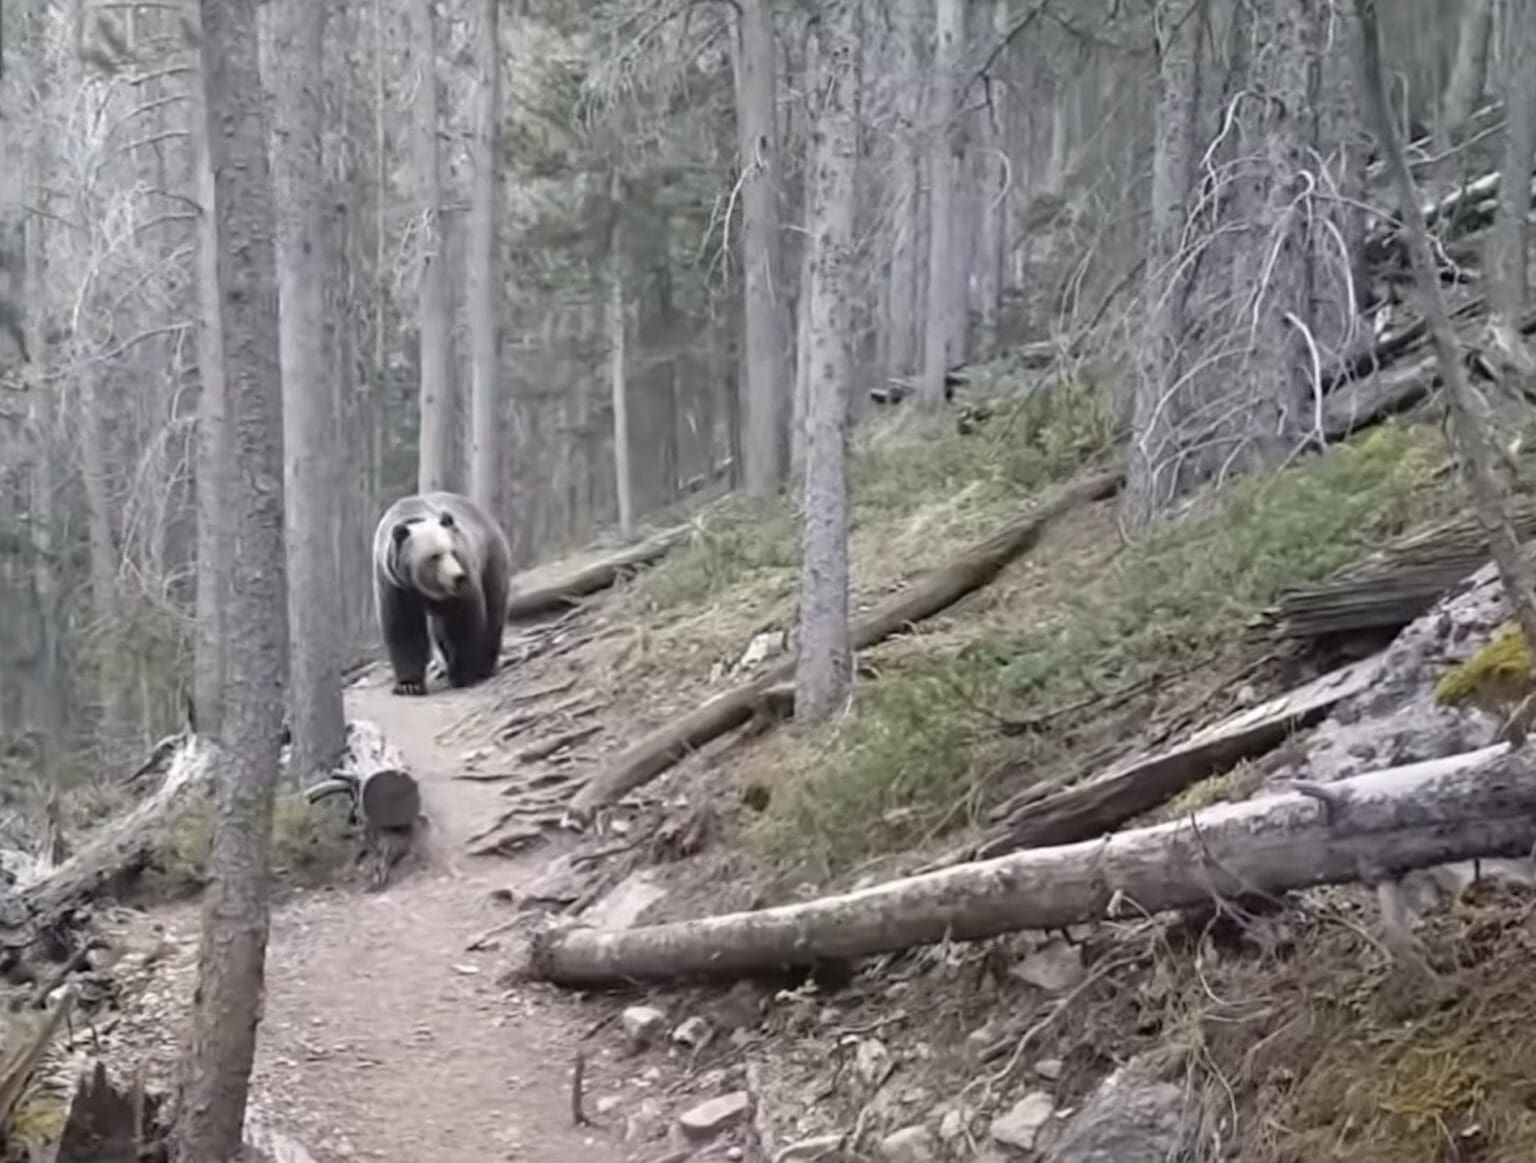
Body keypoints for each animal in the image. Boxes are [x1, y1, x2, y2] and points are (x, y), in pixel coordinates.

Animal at [372, 491, 513, 696]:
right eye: (434, 556)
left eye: (452, 552)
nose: (458, 577)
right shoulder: (394, 583)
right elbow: (403, 627)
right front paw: (409, 685)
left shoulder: (464, 564)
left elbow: (462, 620)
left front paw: (463, 674)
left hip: (491, 559)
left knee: (494, 611)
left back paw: (485, 667)